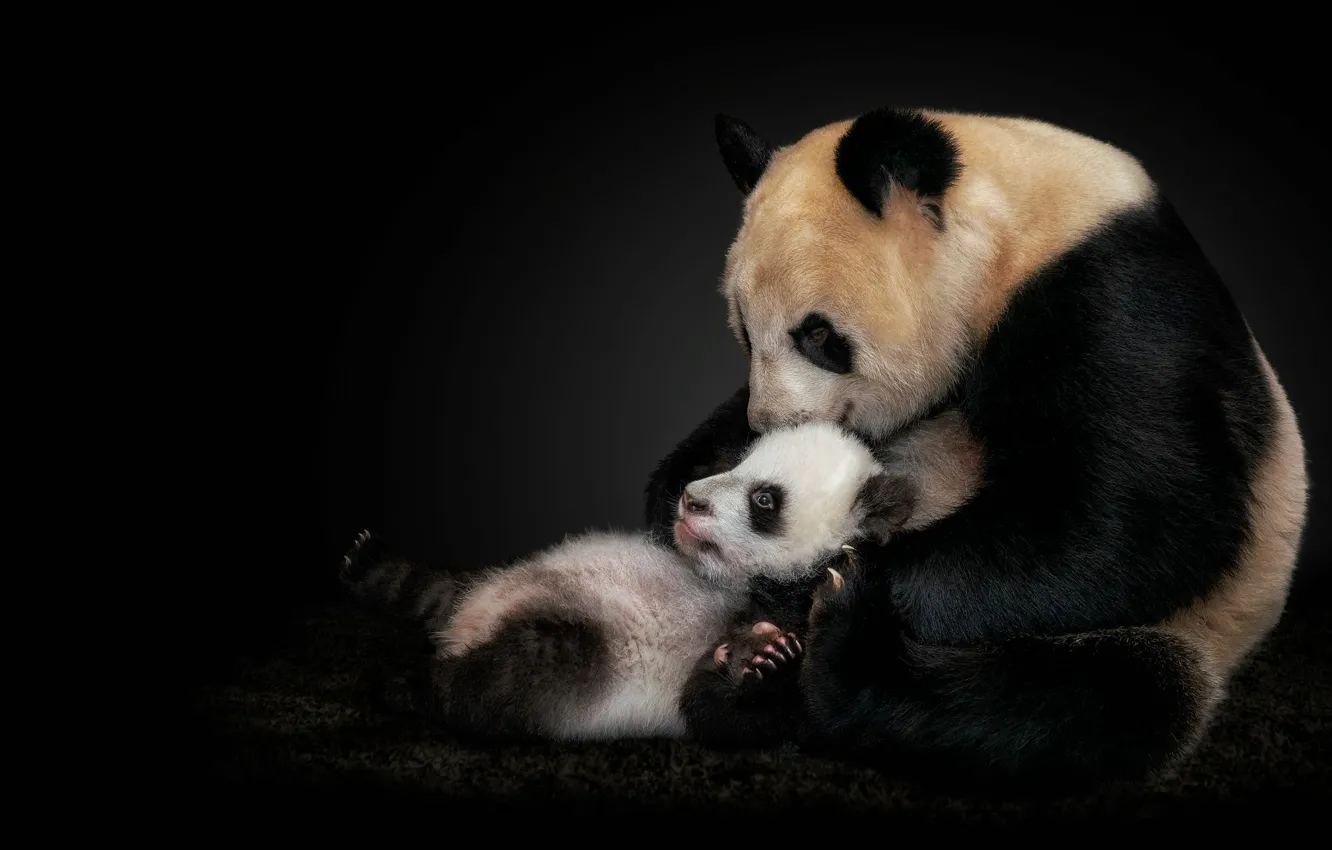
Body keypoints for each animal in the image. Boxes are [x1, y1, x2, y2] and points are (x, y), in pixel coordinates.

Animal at [339, 420, 922, 743]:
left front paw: (765, 657)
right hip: (501, 577)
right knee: (441, 588)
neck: (736, 584)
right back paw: (368, 562)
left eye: (764, 500)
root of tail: (469, 625)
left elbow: (739, 718)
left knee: (498, 680)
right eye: (738, 462)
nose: (691, 499)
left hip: (574, 659)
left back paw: (399, 679)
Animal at [644, 107, 1309, 789]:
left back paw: (839, 654)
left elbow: (1134, 522)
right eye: (745, 334)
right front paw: (687, 490)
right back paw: (749, 672)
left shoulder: (1116, 302)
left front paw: (805, 584)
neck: (1013, 237)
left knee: (1095, 697)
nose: (774, 424)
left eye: (819, 336)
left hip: (1186, 628)